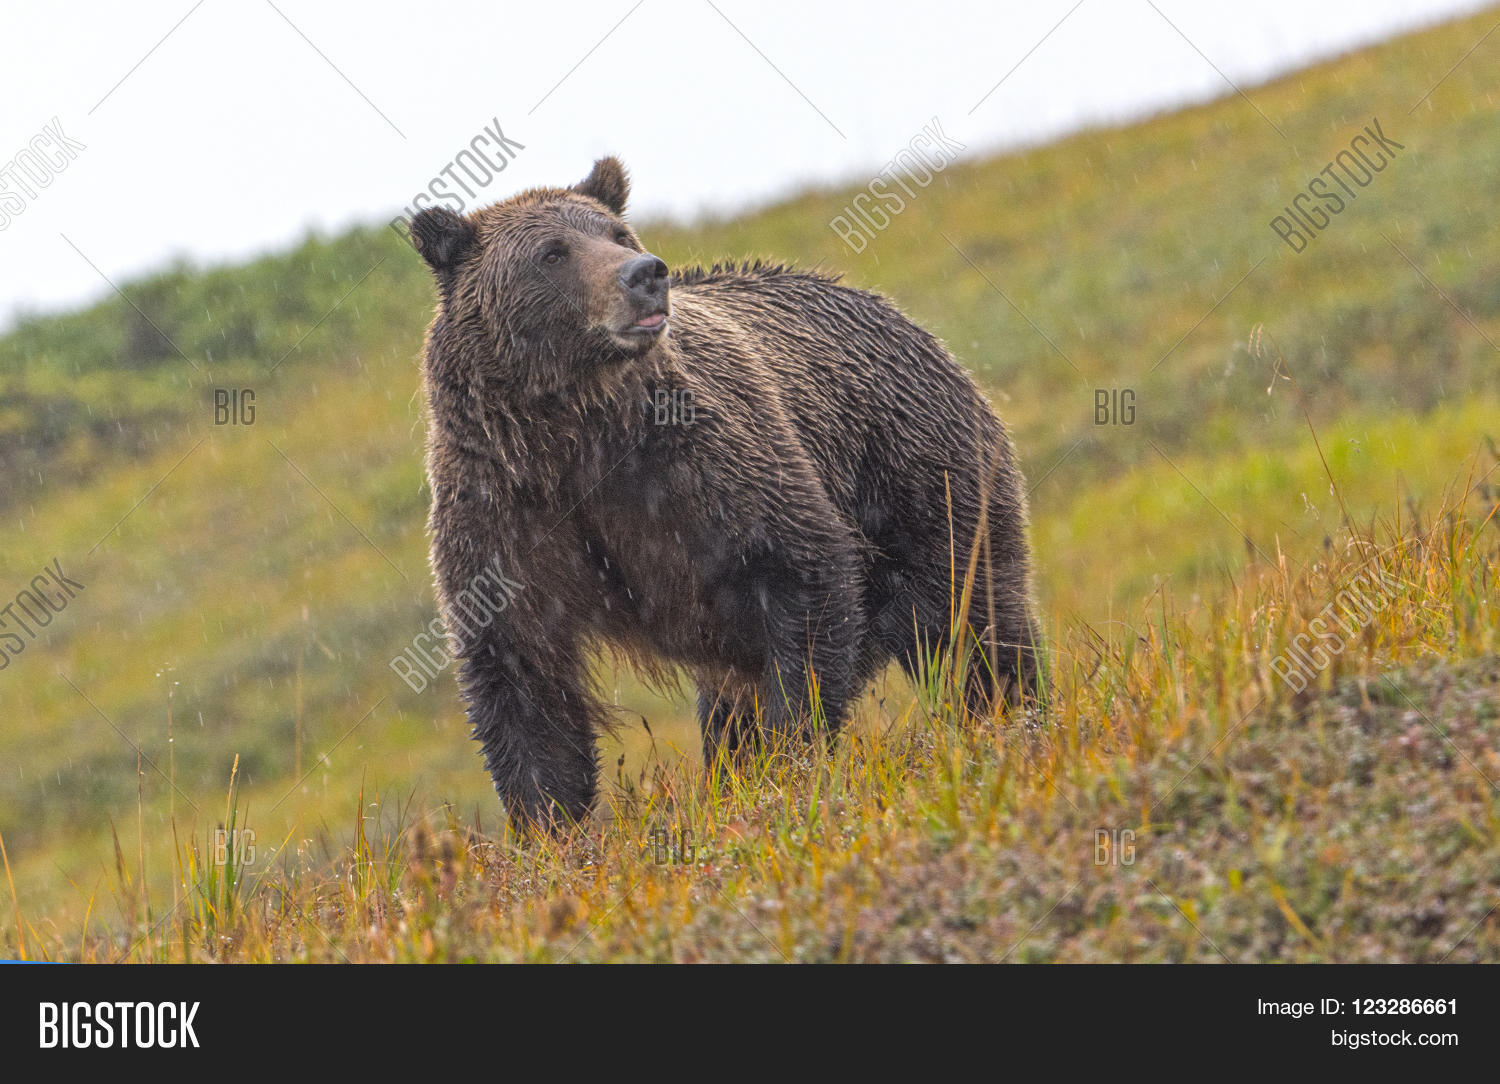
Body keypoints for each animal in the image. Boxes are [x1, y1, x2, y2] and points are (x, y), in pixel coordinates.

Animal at [411, 157, 1039, 832]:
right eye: (552, 252)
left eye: (617, 233)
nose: (645, 273)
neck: (578, 432)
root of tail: (906, 321)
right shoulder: (503, 510)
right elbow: (520, 670)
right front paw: (551, 826)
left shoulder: (709, 468)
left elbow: (804, 575)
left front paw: (788, 759)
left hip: (918, 473)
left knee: (971, 617)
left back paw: (1012, 715)